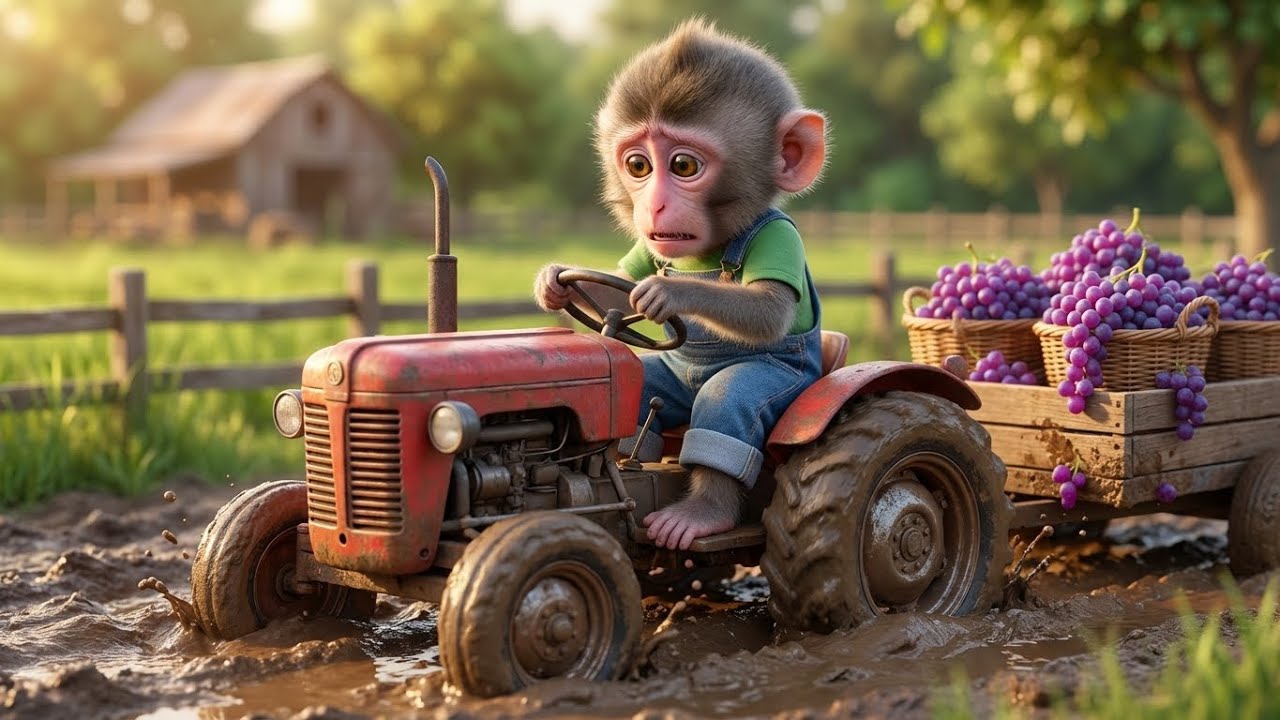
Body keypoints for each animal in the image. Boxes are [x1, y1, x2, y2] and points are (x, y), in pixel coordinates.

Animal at [534, 18, 827, 551]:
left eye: (684, 166)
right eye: (638, 166)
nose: (655, 207)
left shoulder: (779, 237)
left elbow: (769, 307)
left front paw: (668, 292)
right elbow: (618, 280)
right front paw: (552, 281)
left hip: (783, 389)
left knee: (726, 408)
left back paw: (697, 516)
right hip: (662, 386)